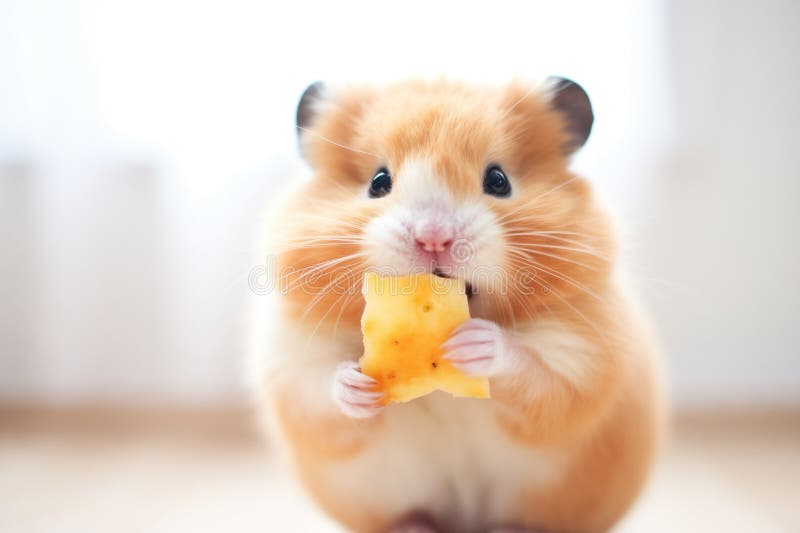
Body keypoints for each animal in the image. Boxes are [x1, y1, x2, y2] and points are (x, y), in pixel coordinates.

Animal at [250, 78, 665, 533]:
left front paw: (475, 344)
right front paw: (357, 383)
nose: (433, 237)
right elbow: (319, 392)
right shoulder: (292, 360)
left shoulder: (584, 355)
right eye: (379, 182)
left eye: (498, 180)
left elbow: (537, 376)